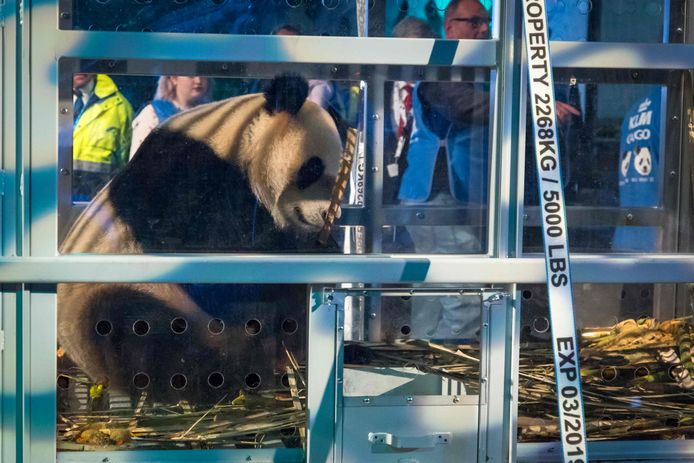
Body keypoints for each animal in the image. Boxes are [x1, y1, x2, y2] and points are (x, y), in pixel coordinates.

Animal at [57, 74, 343, 404]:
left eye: (339, 177)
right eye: (313, 168)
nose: (327, 215)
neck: (233, 139)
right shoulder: (183, 174)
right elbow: (207, 257)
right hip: (103, 299)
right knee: (137, 329)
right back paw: (232, 368)